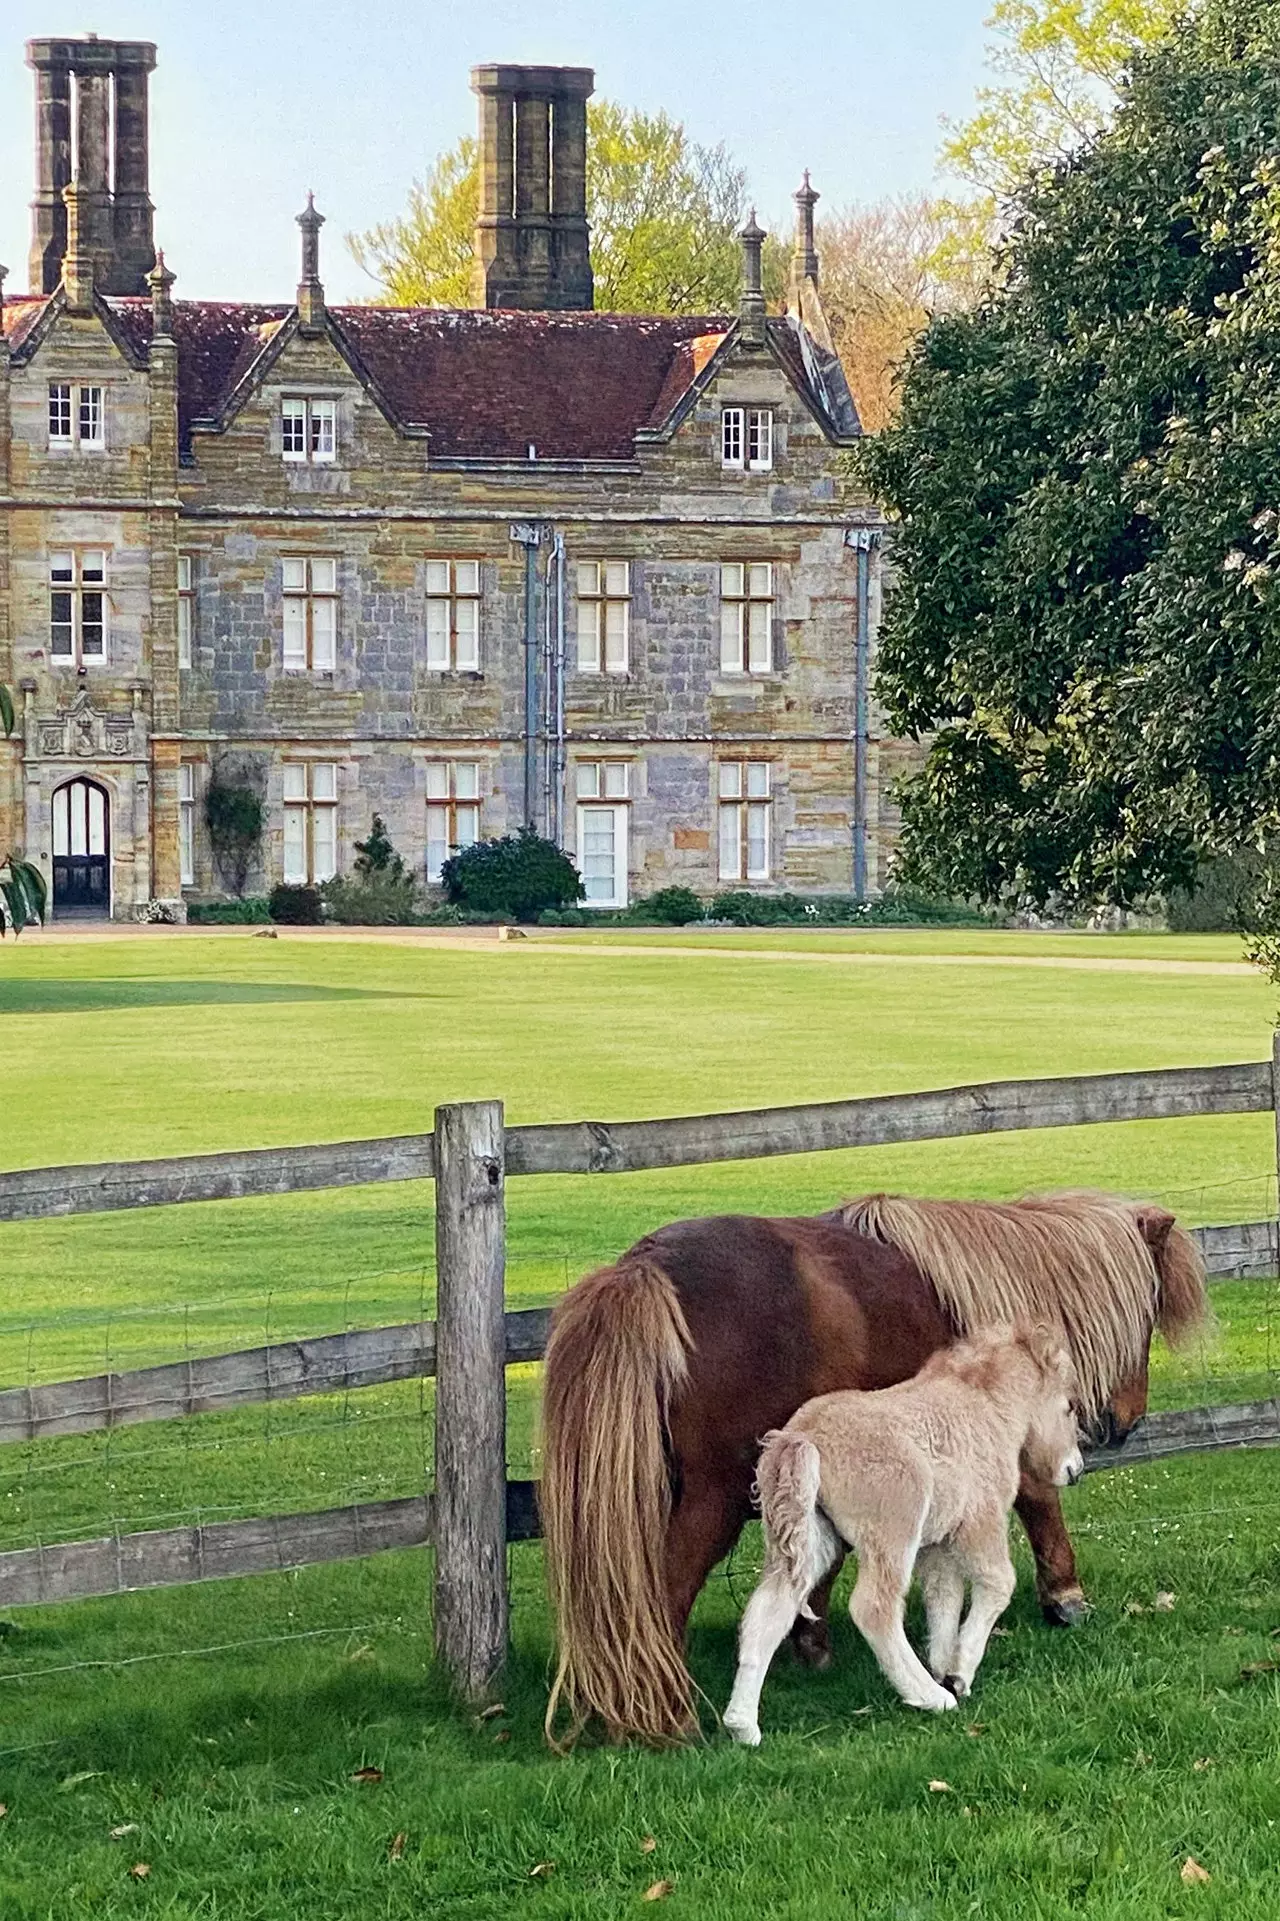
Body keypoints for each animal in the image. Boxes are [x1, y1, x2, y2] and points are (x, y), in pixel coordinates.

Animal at [538, 1183, 1206, 1744]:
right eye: (1149, 1313)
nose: (1126, 1422)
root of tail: (645, 1269)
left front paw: (815, 1645)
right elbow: (1036, 1505)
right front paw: (1063, 1599)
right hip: (715, 1499)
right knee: (666, 1592)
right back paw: (672, 1714)